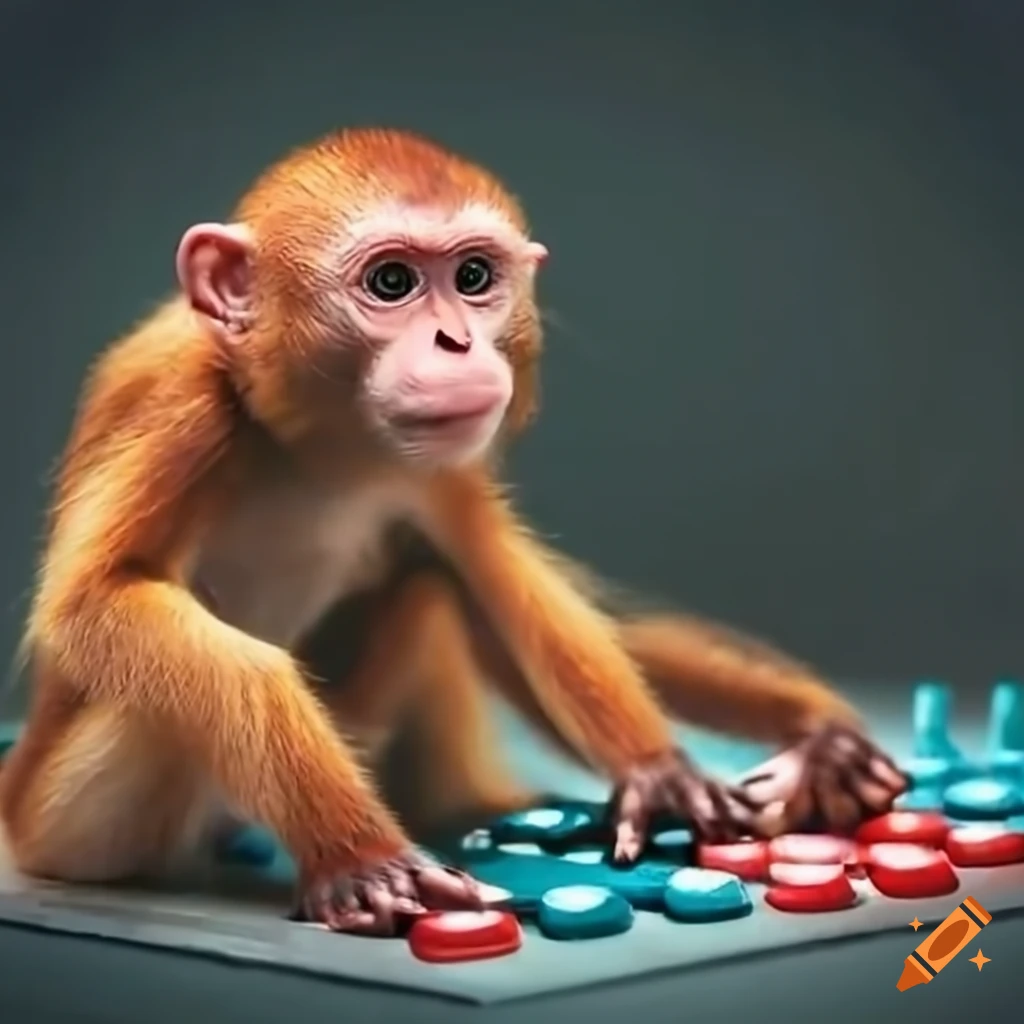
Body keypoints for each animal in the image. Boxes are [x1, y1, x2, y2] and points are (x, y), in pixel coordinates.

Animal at [0, 128, 905, 936]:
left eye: (473, 277)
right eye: (392, 281)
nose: (458, 342)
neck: (310, 447)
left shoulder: (438, 458)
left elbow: (501, 576)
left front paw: (718, 761)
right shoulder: (174, 399)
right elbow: (95, 605)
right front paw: (361, 856)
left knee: (442, 587)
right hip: (74, 822)